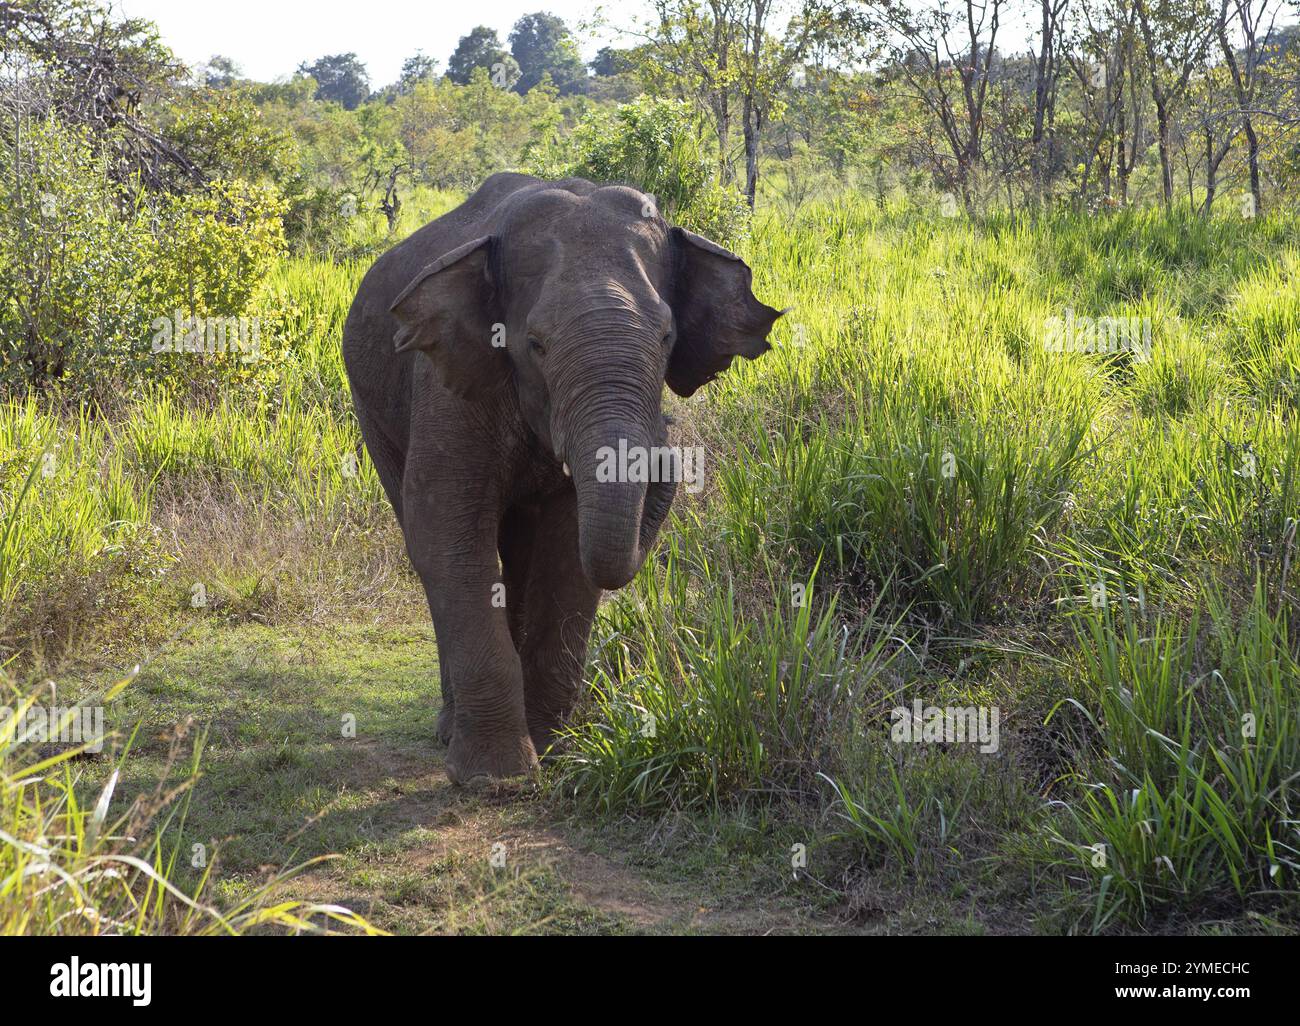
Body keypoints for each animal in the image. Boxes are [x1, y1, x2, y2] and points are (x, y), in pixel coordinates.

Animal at [343, 172, 781, 786]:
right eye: (535, 344)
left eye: (667, 337)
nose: (669, 433)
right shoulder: (448, 384)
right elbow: (446, 532)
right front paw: (497, 778)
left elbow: (566, 545)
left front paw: (554, 749)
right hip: (372, 408)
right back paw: (451, 731)